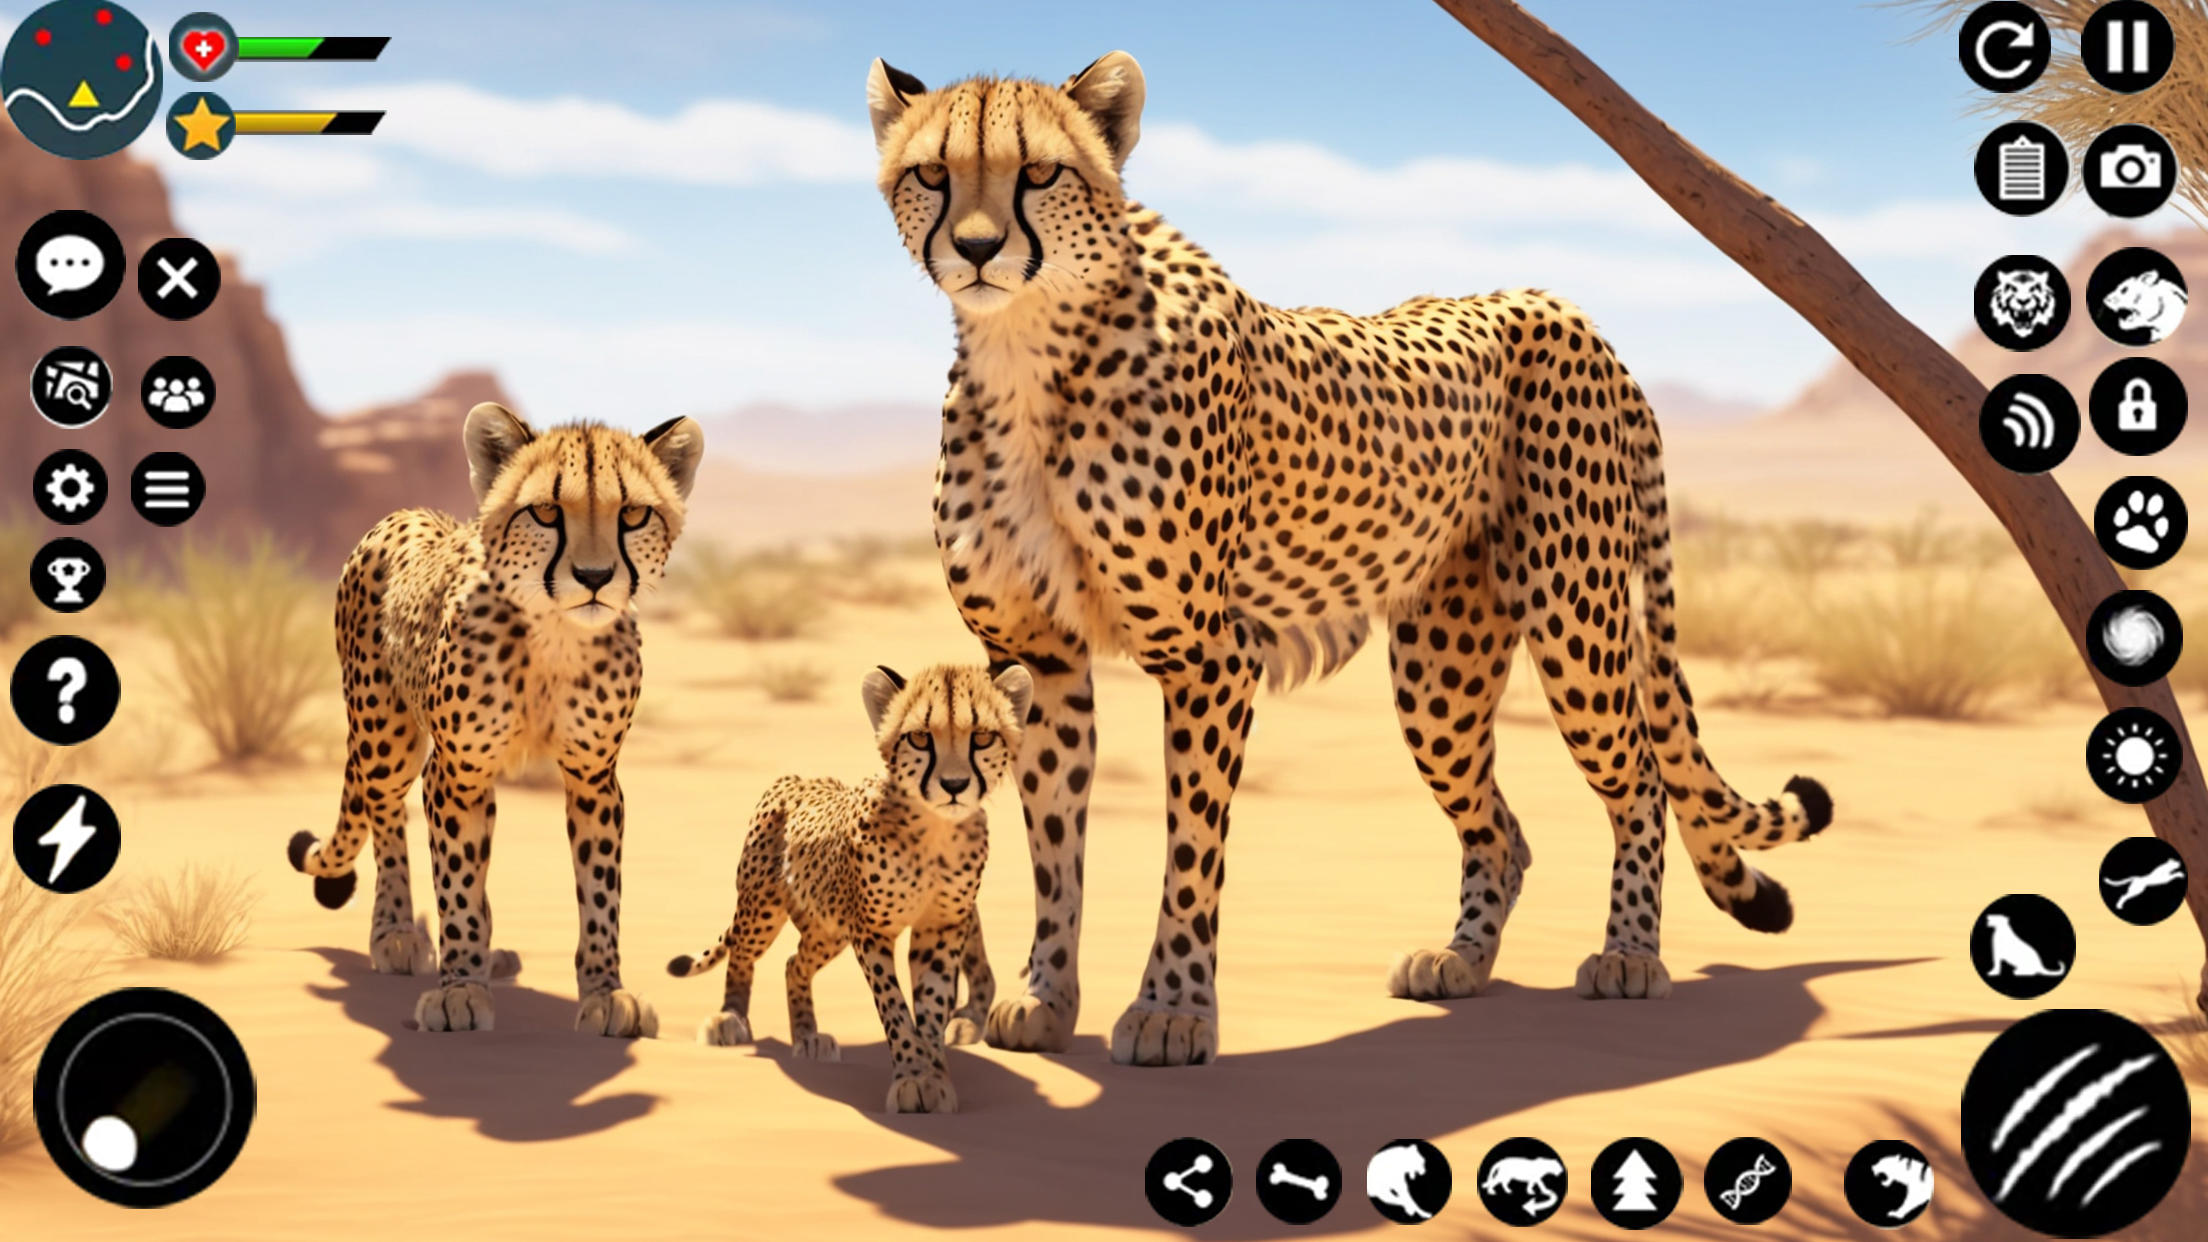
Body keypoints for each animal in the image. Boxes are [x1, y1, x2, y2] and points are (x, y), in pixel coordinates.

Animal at [287, 401, 704, 1038]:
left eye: (633, 514)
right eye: (545, 512)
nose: (594, 577)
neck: (554, 634)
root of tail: (407, 512)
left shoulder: (593, 777)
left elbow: (598, 889)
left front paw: (606, 992)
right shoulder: (454, 773)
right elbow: (456, 881)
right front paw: (460, 986)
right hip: (386, 738)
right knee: (386, 814)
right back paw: (397, 933)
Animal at [668, 663, 1033, 1113]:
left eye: (982, 737)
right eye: (919, 737)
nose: (953, 785)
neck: (935, 829)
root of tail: (797, 778)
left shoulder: (940, 928)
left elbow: (931, 1006)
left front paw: (933, 1075)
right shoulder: (871, 931)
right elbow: (894, 1008)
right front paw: (912, 1076)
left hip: (829, 928)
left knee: (794, 963)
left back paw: (808, 1037)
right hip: (763, 909)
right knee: (742, 955)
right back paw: (730, 1019)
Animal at [865, 51, 1836, 1068]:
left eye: (1041, 172)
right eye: (932, 173)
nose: (976, 249)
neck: (1030, 347)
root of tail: (1563, 306)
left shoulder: (1209, 658)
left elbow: (1191, 849)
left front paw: (1172, 1010)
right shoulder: (1041, 657)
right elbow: (1055, 842)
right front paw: (1044, 998)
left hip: (1579, 626)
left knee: (1641, 777)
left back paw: (1631, 955)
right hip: (1443, 681)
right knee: (1502, 826)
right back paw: (1463, 959)